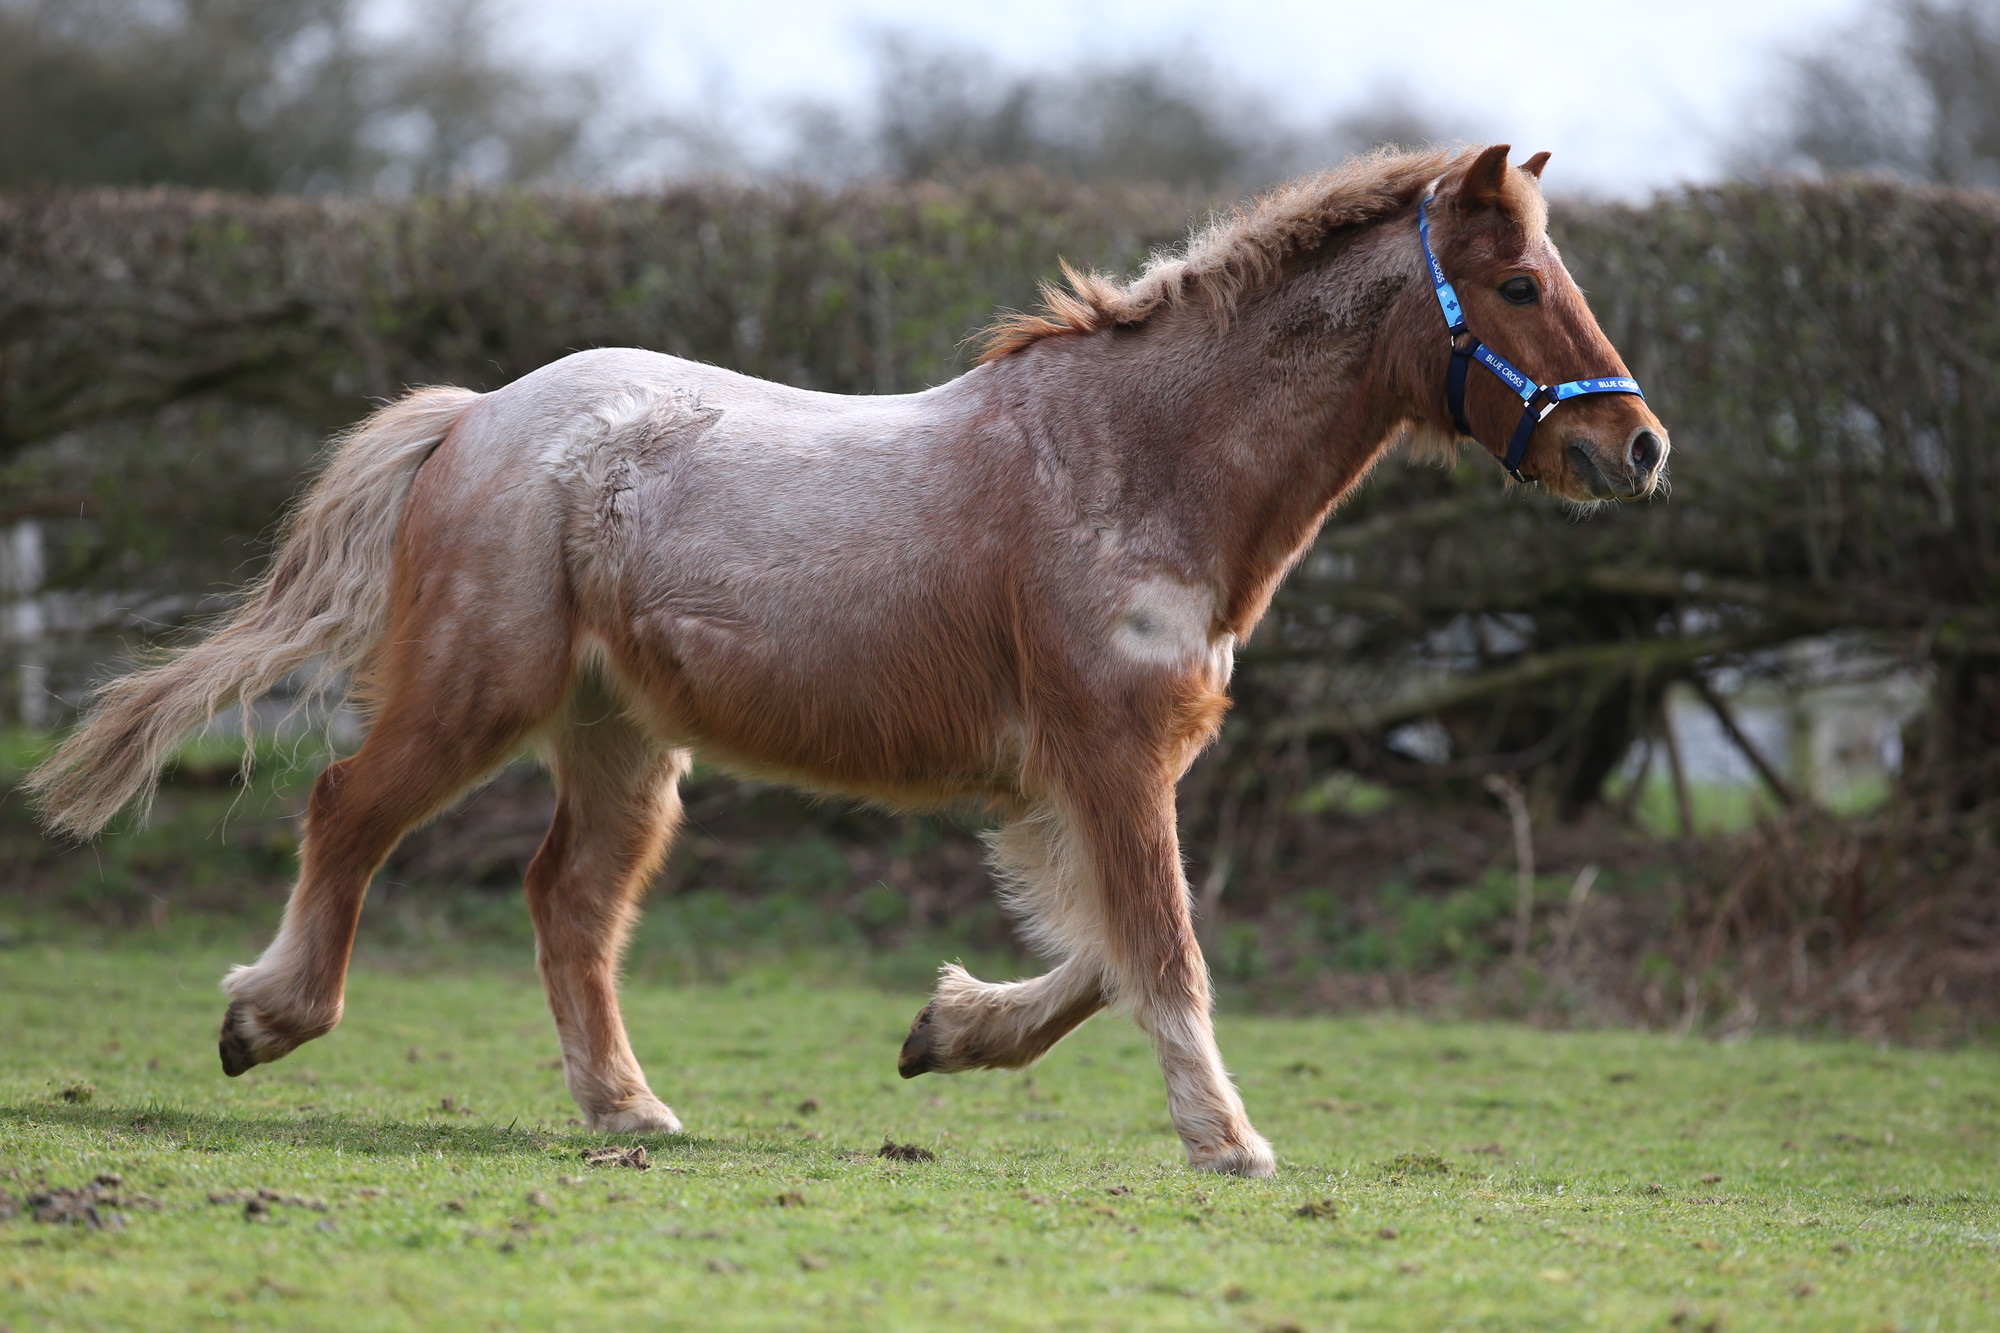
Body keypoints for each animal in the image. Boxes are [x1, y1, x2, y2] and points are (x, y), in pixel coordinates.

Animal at [28, 145, 1668, 1177]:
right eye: (1518, 286)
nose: (1637, 448)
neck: (1136, 459)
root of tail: (481, 414)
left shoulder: (1094, 771)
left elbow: (1105, 951)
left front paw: (945, 1030)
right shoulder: (1108, 756)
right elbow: (1163, 951)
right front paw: (1231, 1143)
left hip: (622, 741)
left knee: (567, 899)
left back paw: (628, 1110)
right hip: (471, 699)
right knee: (347, 814)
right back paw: (266, 1018)